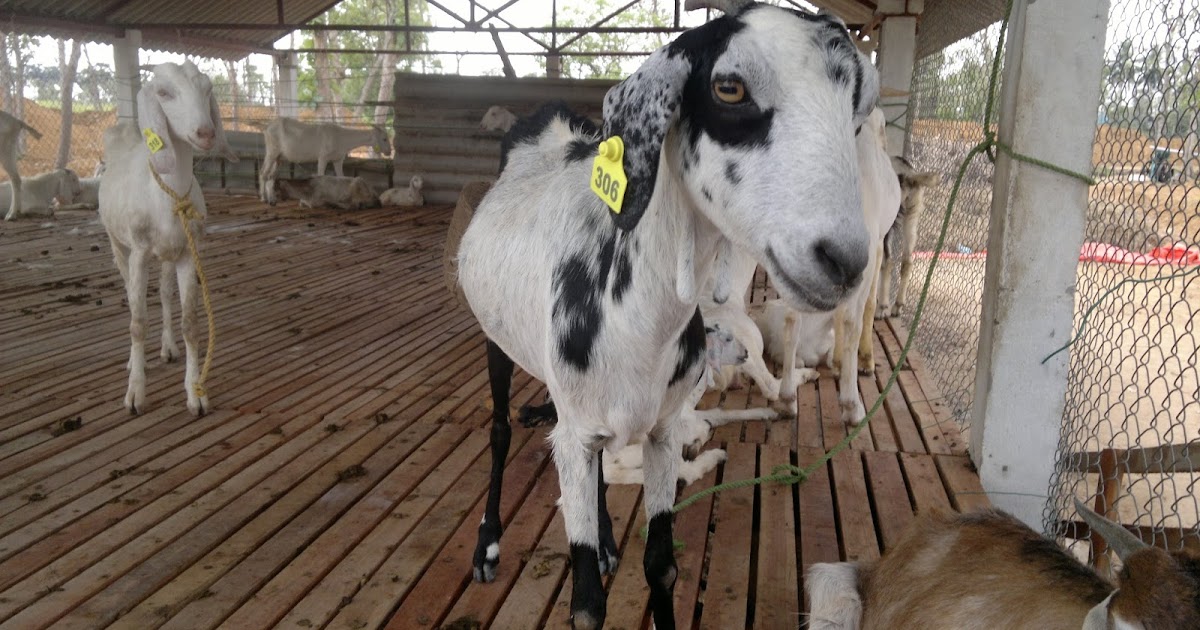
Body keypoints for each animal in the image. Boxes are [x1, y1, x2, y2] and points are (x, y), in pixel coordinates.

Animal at [99, 61, 236, 416]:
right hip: (117, 243)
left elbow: (190, 322)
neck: (166, 194)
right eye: (163, 92)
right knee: (129, 291)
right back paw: (135, 363)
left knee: (163, 294)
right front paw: (135, 395)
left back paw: (168, 348)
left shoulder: (188, 251)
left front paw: (195, 393)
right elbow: (137, 321)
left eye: (207, 88)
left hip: (167, 254)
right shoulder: (138, 252)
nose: (206, 133)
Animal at [259, 118, 391, 205]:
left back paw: (272, 199)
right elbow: (321, 175)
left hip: (279, 157)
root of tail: (267, 128)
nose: (389, 152)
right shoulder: (323, 157)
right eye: (384, 138)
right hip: (272, 151)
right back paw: (263, 198)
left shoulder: (338, 160)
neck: (341, 138)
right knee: (263, 173)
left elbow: (341, 176)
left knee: (271, 175)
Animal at [456, 1, 877, 626]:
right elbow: (586, 604)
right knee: (502, 430)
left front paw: (617, 547)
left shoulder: (660, 430)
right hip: (497, 341)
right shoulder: (576, 431)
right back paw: (487, 545)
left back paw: (607, 540)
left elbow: (662, 566)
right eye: (729, 87)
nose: (843, 261)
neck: (637, 324)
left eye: (854, 101)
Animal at [877, 156, 938, 318]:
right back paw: (897, 306)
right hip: (912, 215)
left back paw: (881, 308)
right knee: (907, 261)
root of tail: (908, 175)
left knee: (887, 262)